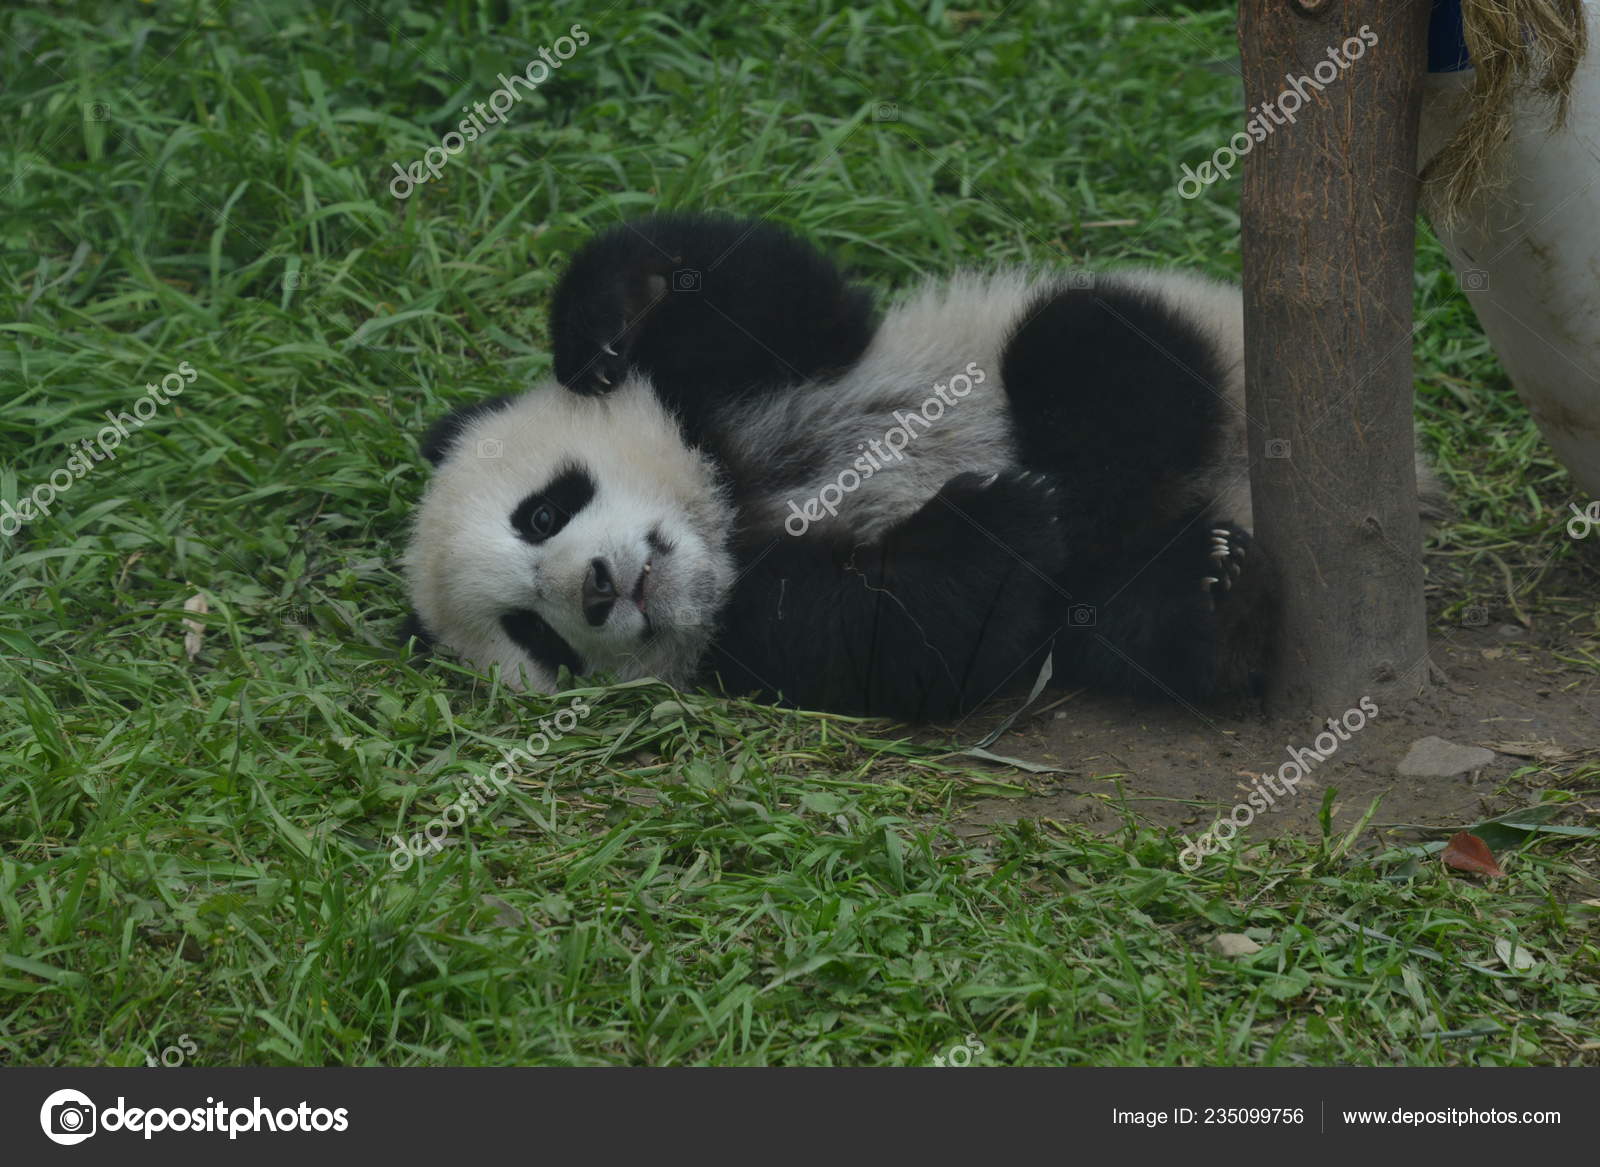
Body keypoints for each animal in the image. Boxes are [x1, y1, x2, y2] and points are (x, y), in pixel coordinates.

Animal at [404, 212, 1442, 721]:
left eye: (540, 513)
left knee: (1098, 347)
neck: (734, 505)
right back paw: (1209, 592)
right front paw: (999, 521)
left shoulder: (739, 374)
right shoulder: (759, 636)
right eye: (534, 636)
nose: (596, 587)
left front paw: (604, 325)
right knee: (1124, 614)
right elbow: (911, 641)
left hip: (1193, 339)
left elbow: (758, 283)